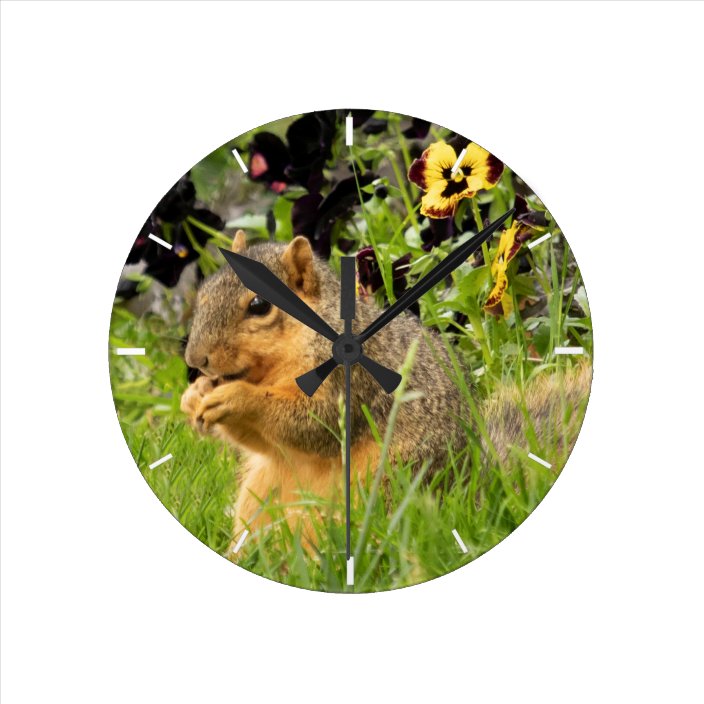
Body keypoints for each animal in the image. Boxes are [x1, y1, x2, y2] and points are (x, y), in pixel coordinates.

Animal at [181, 230, 591, 554]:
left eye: (259, 305)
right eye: (203, 294)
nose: (195, 359)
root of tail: (467, 491)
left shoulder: (350, 383)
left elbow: (314, 425)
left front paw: (235, 398)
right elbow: (266, 441)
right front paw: (193, 397)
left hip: (388, 482)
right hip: (259, 494)